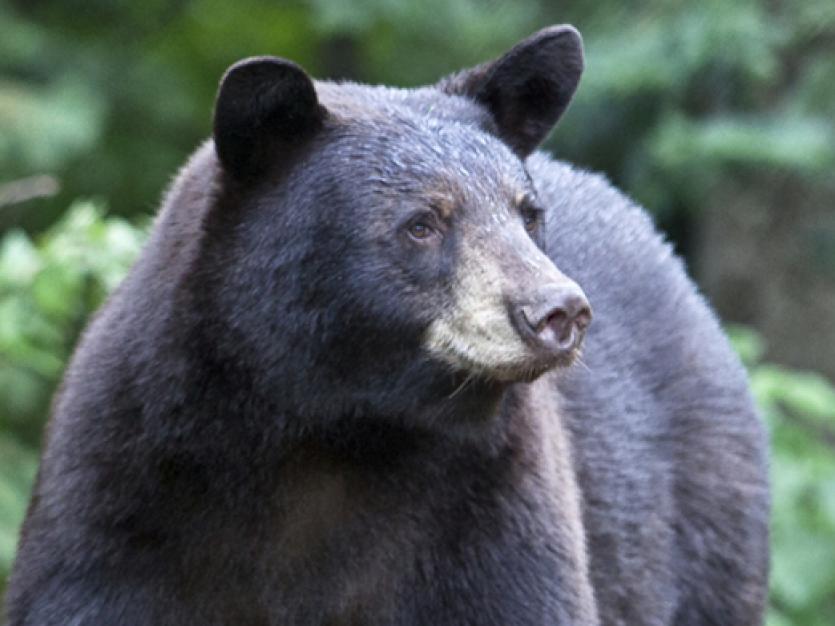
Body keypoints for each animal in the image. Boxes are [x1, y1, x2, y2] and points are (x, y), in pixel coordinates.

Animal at [5, 24, 769, 625]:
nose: (559, 311)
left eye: (528, 214)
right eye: (422, 222)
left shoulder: (493, 515)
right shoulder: (119, 503)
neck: (337, 427)